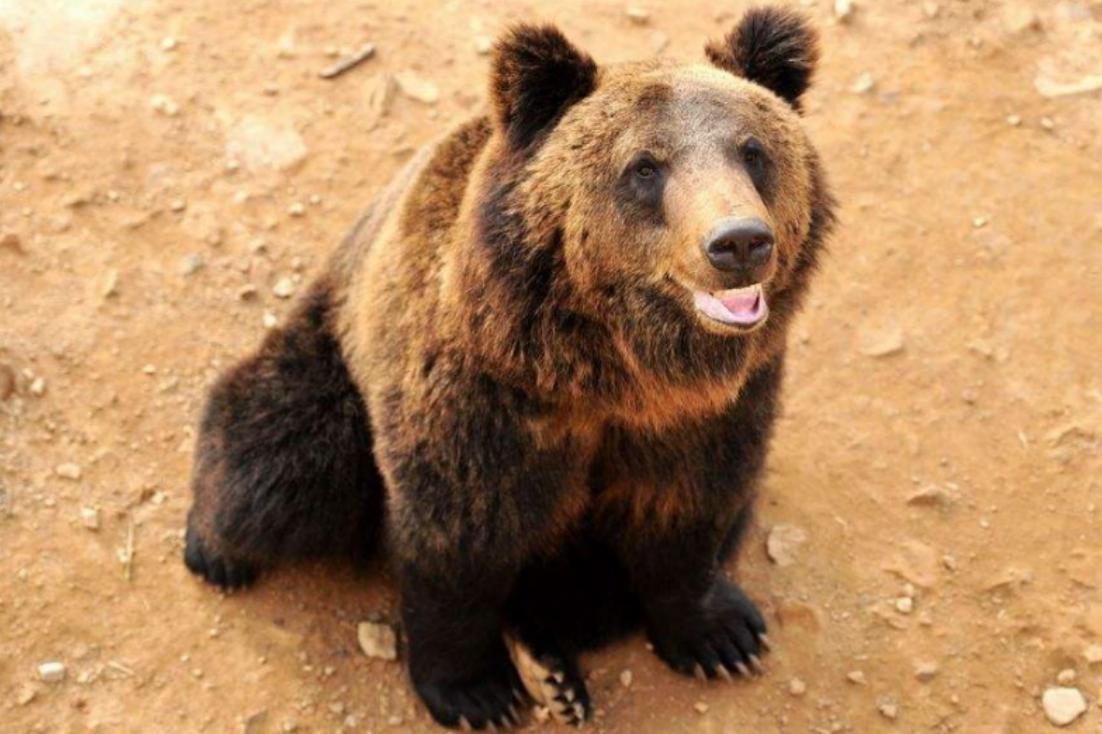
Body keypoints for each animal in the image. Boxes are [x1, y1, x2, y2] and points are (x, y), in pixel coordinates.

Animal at [183, 6, 835, 729]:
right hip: (328, 365)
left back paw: (553, 666)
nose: (739, 242)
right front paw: (475, 691)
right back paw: (215, 548)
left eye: (754, 151)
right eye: (645, 167)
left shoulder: (716, 407)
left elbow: (691, 506)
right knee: (275, 461)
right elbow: (461, 534)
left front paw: (722, 635)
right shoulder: (484, 396)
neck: (614, 373)